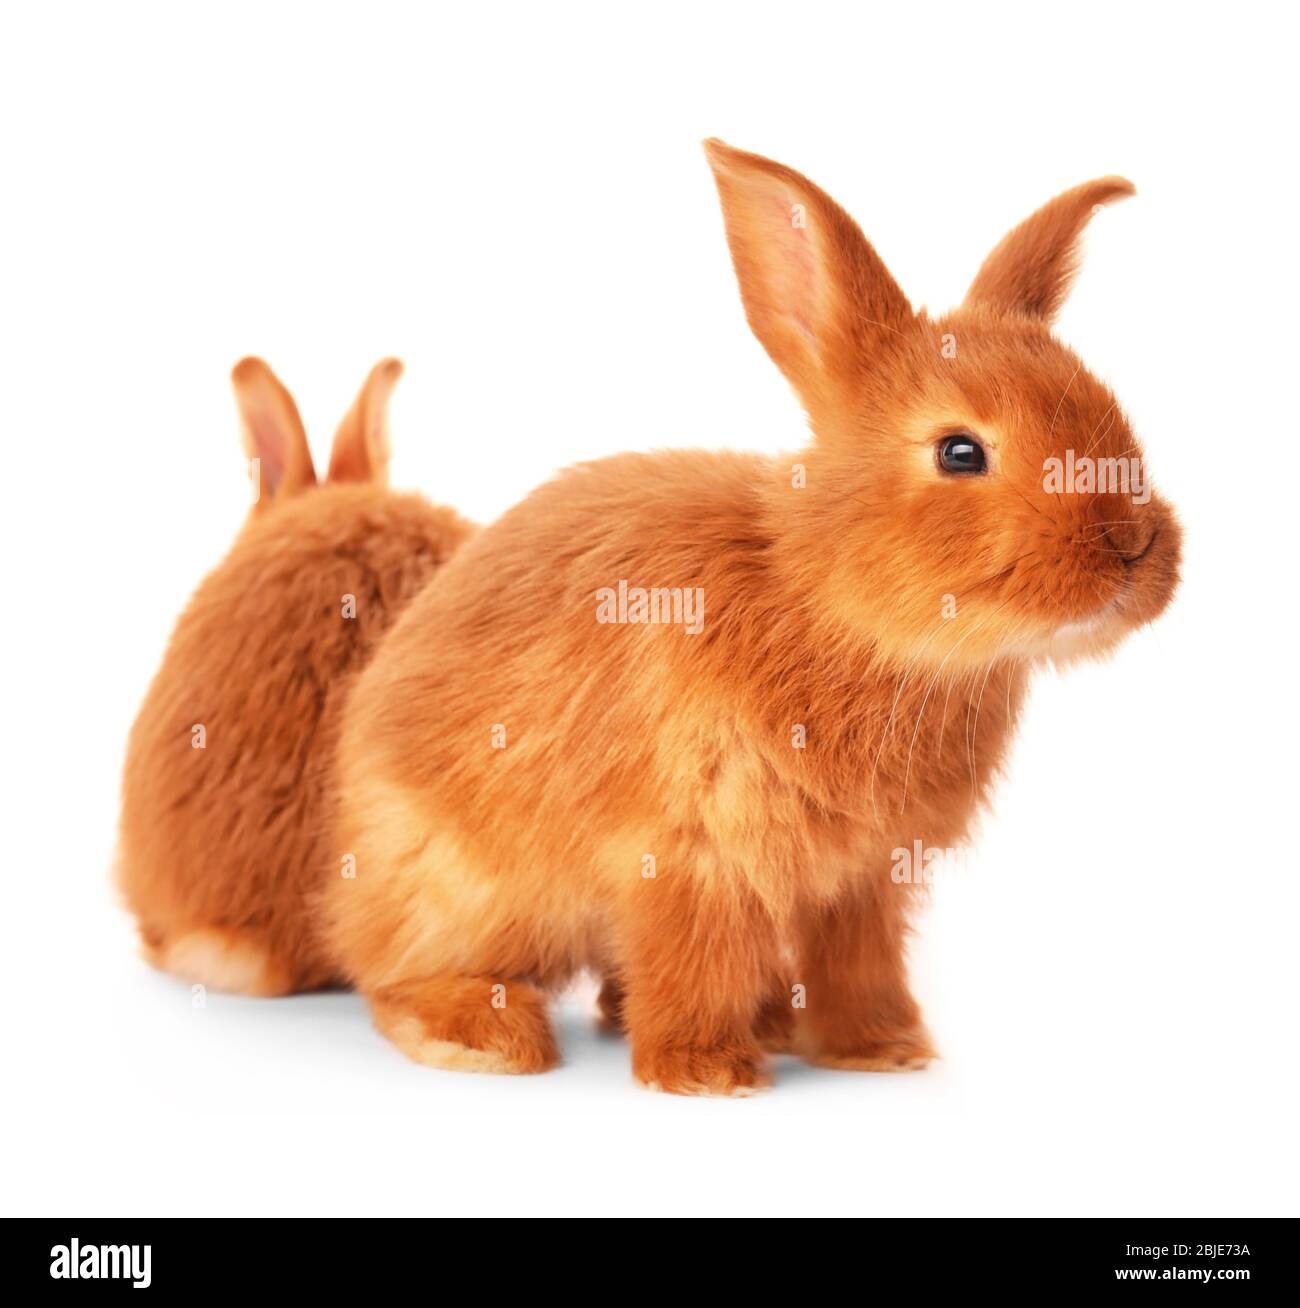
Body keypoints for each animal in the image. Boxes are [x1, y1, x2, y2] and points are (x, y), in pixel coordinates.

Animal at [318, 139, 1182, 1096]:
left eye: (1112, 413)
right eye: (961, 452)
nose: (1134, 545)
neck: (825, 608)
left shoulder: (864, 879)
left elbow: (859, 964)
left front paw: (882, 1052)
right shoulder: (690, 850)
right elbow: (692, 964)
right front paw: (704, 1073)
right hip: (458, 889)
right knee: (391, 973)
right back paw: (486, 1035)